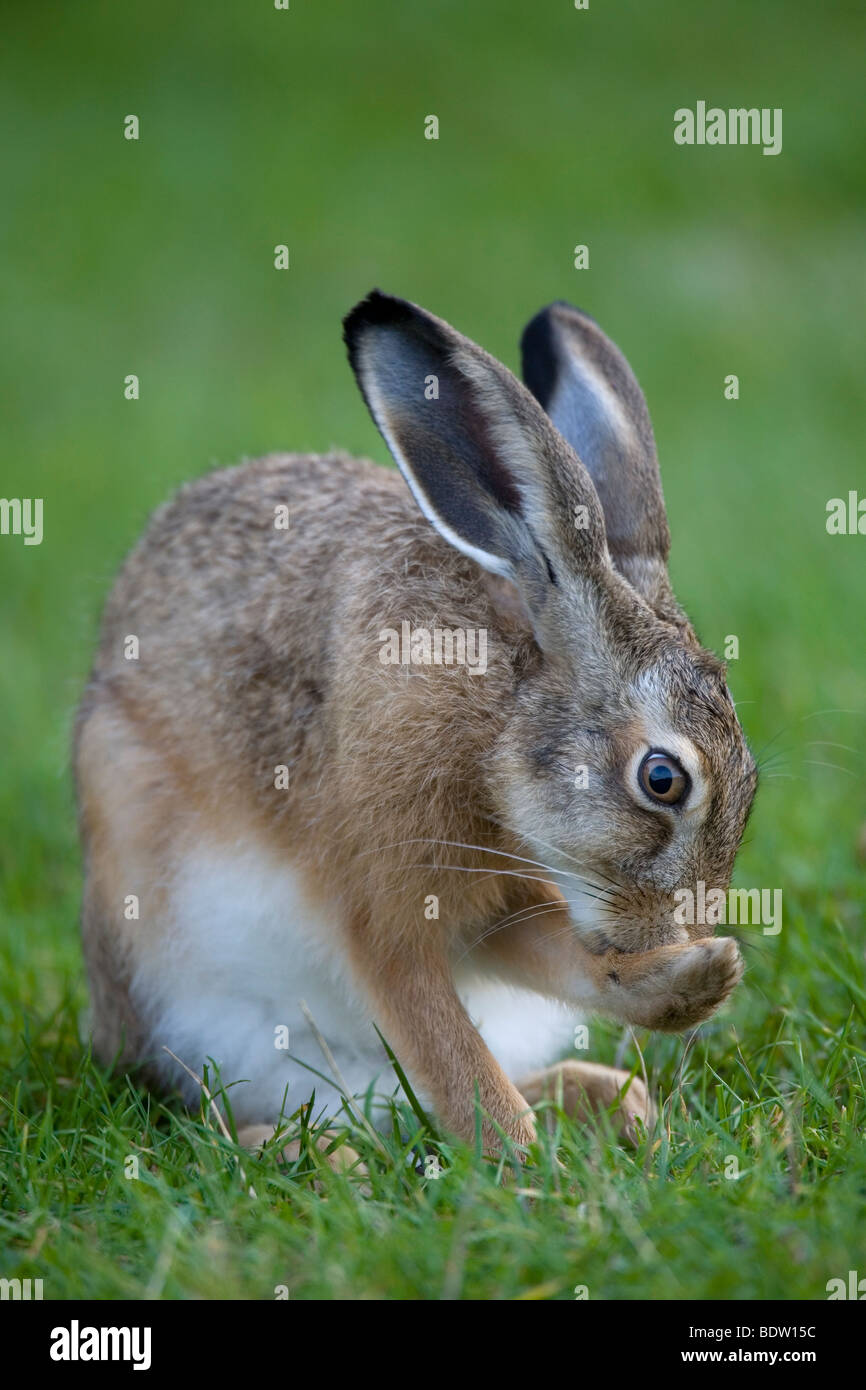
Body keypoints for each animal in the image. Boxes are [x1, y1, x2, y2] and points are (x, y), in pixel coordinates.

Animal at [74, 291, 757, 1156]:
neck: (499, 720)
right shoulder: (379, 908)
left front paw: (693, 982)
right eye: (662, 779)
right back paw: (316, 1154)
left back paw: (609, 1097)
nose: (677, 933)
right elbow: (444, 1046)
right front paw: (520, 1162)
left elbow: (541, 961)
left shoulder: (500, 904)